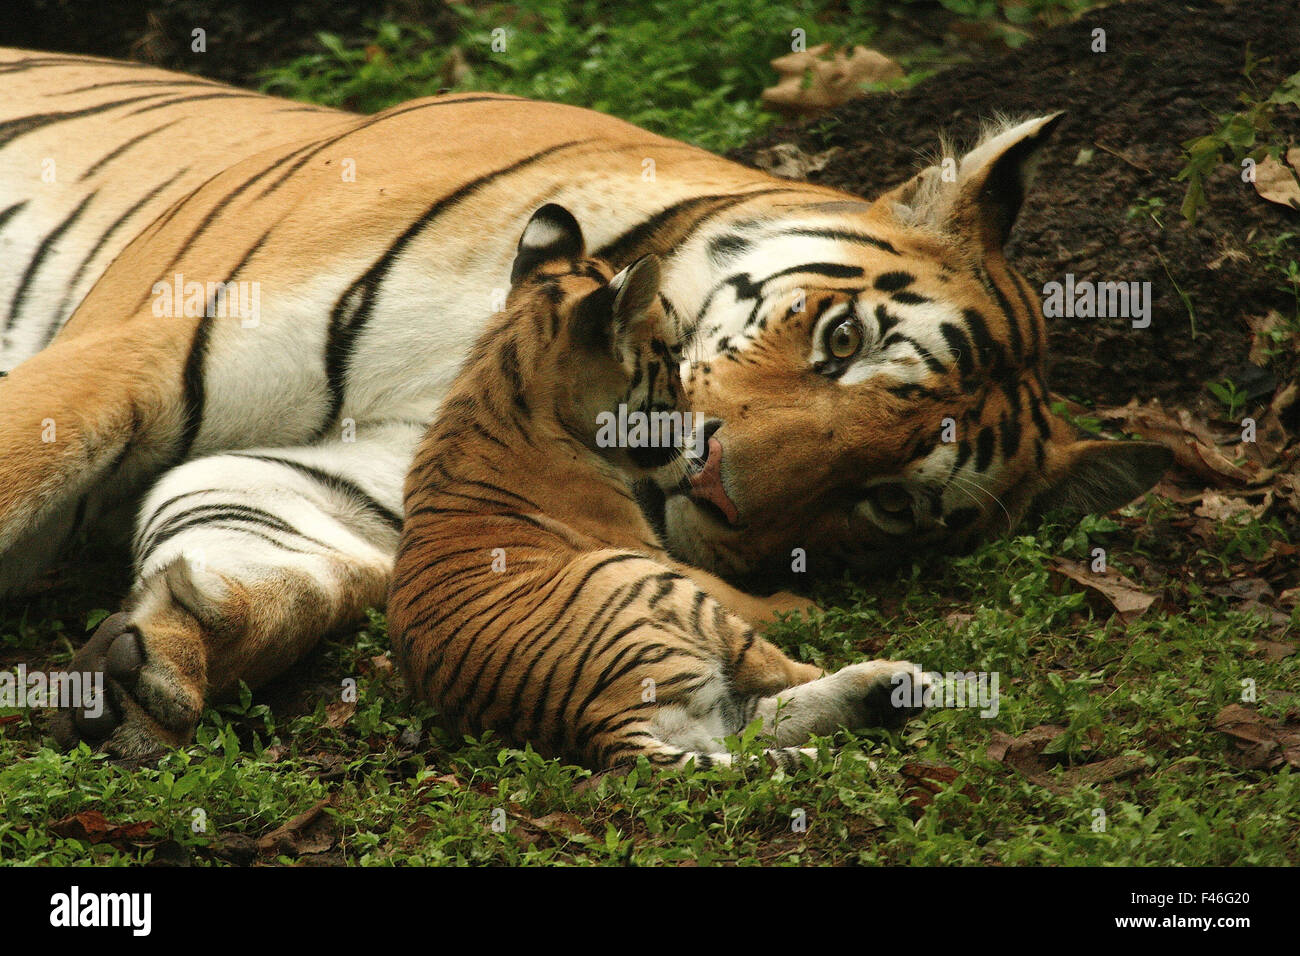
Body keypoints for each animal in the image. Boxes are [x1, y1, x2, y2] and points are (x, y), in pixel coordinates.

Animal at [389, 202, 925, 770]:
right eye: (670, 356)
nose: (698, 431)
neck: (498, 377)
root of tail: (601, 729)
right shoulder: (653, 553)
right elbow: (738, 596)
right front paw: (799, 606)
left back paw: (887, 691)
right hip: (645, 581)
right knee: (773, 672)